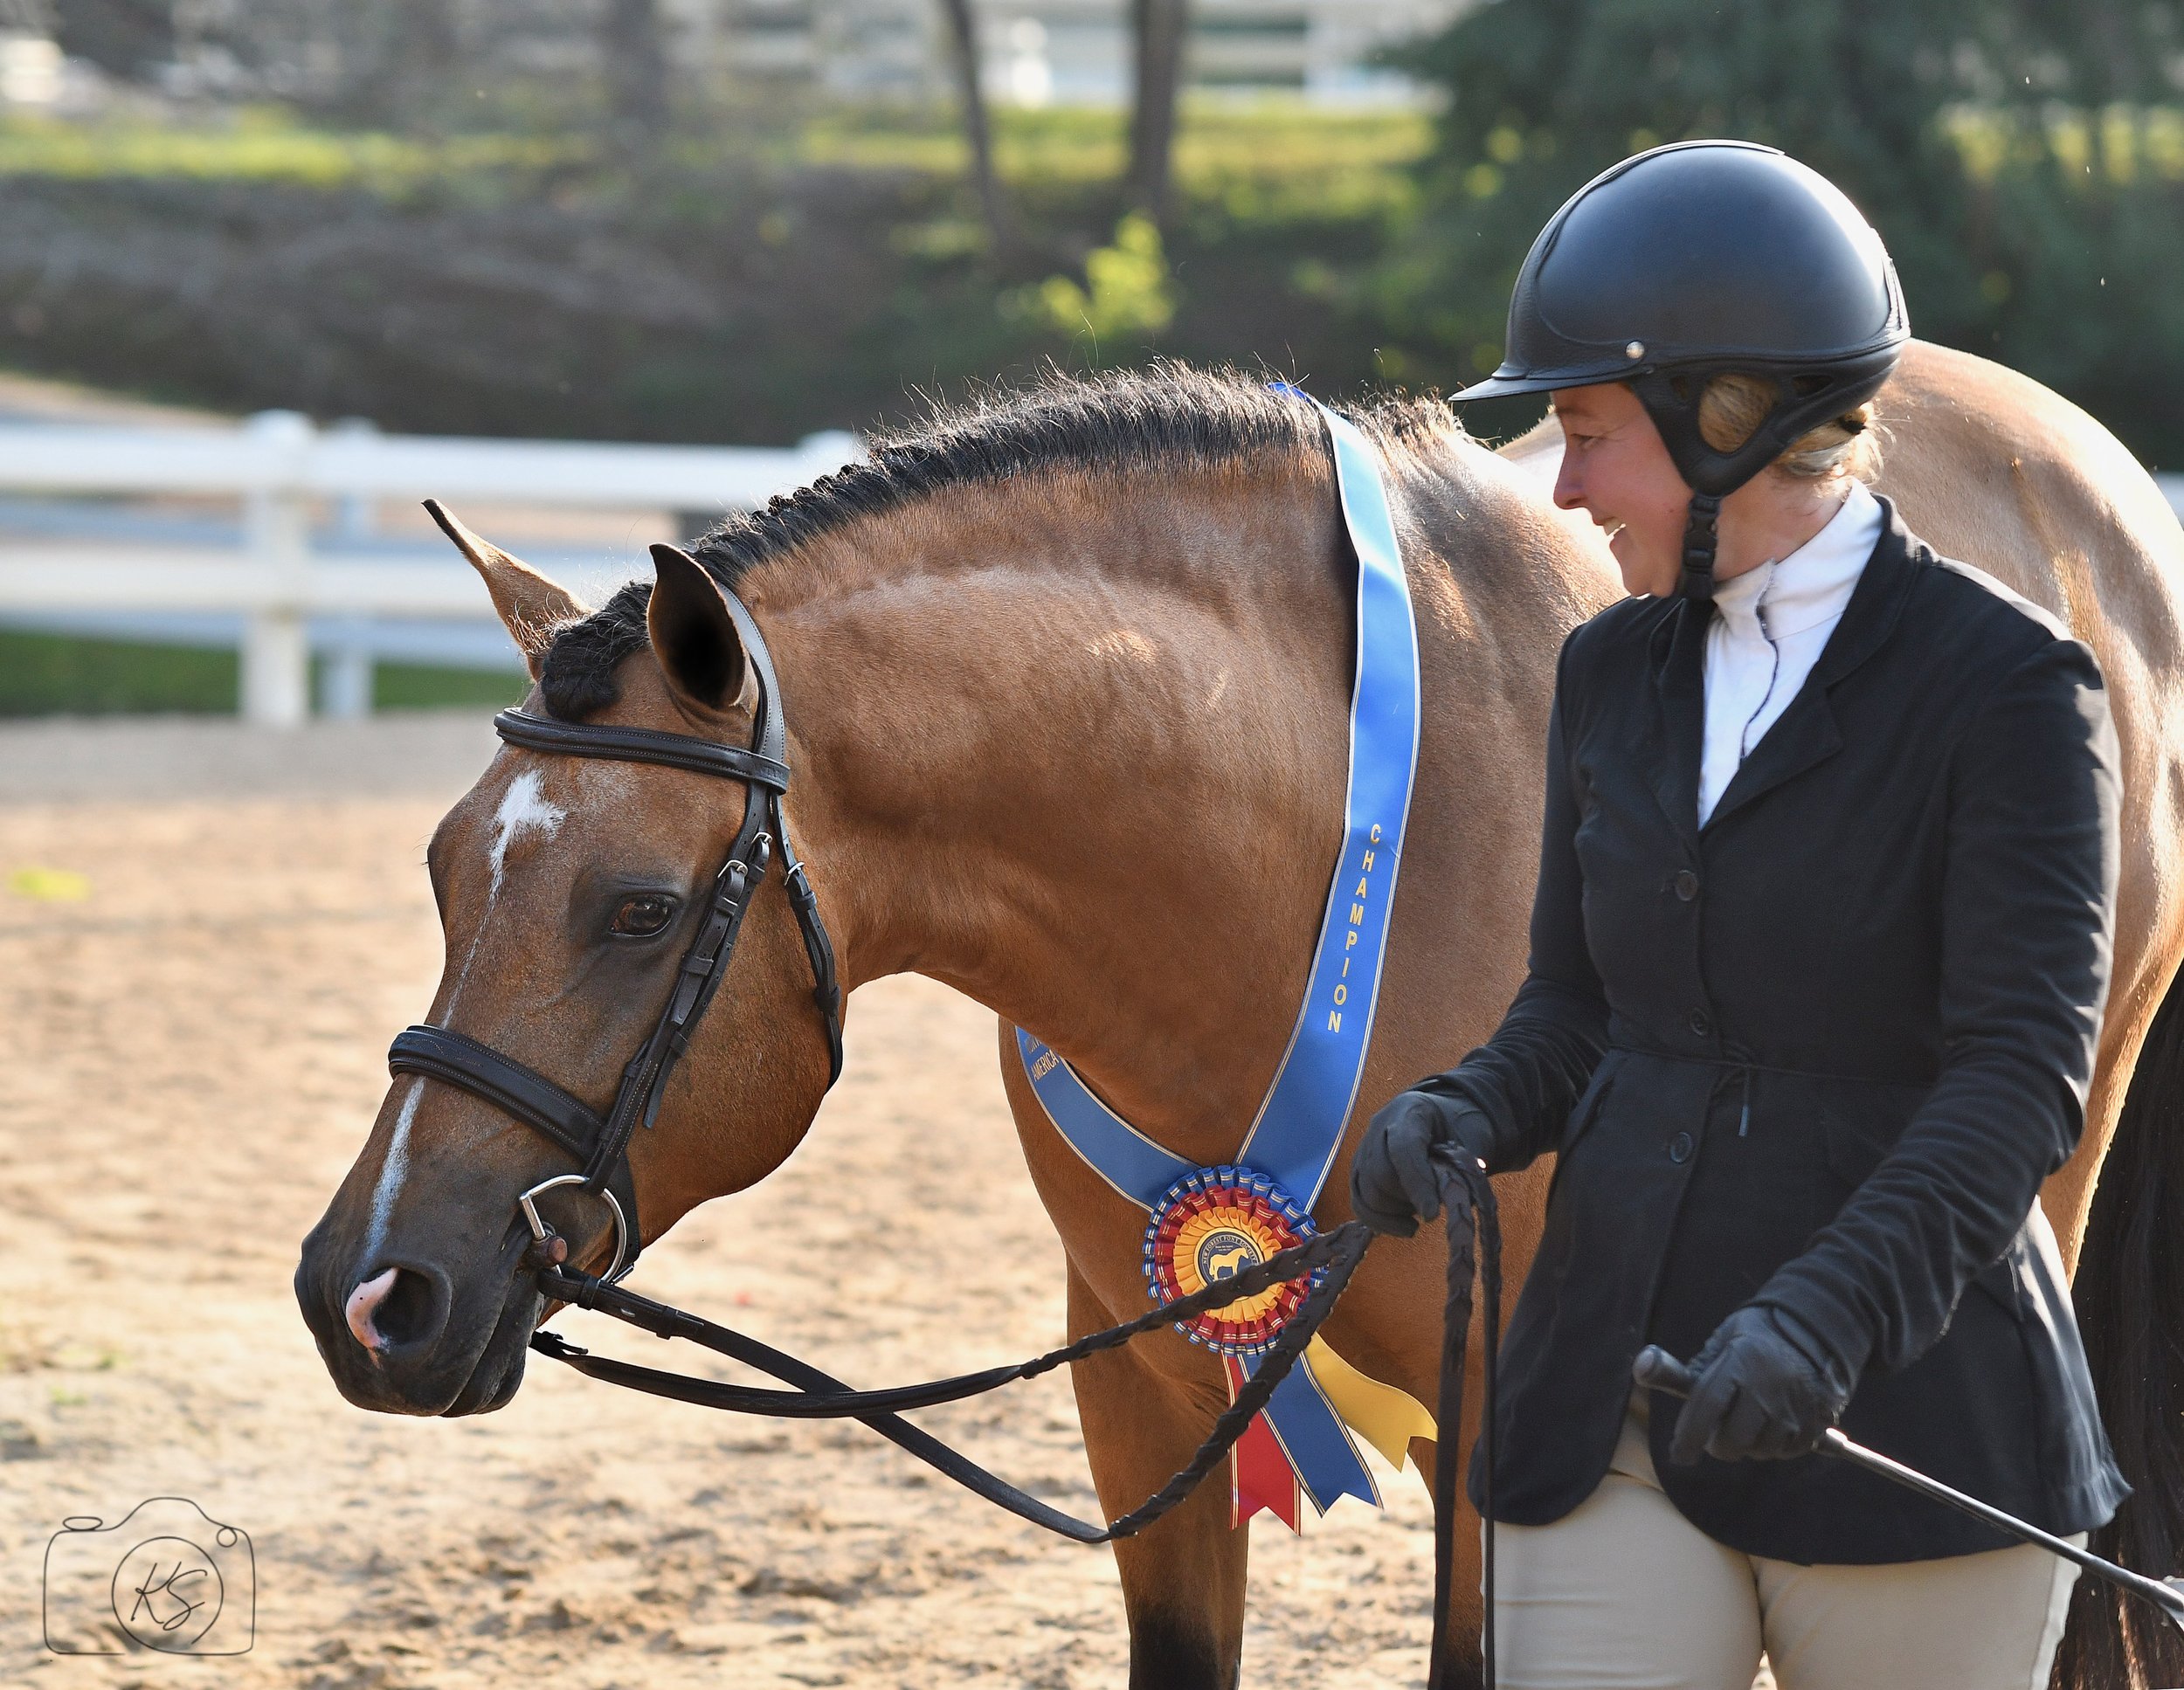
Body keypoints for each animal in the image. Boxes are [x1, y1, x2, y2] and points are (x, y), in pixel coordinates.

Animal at [296, 343, 2184, 1689]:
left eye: (637, 908)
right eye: (447, 870)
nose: (367, 1293)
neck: (1289, 856)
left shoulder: (1505, 1430)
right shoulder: (1138, 1377)